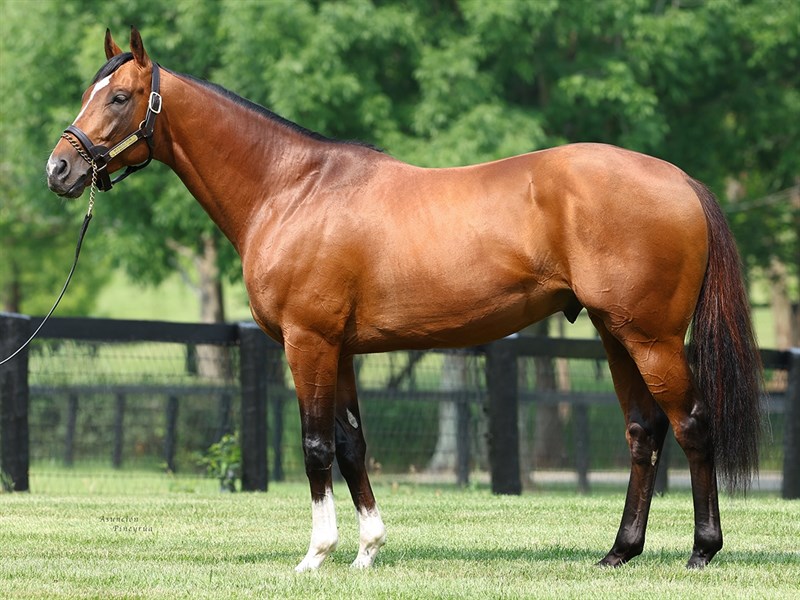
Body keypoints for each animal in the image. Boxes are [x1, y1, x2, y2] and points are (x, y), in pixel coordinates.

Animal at [46, 28, 762, 571]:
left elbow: (314, 445)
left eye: (119, 96)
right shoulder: (339, 350)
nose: (60, 169)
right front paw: (367, 550)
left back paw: (702, 551)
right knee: (644, 431)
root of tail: (681, 181)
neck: (292, 188)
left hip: (653, 338)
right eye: (87, 93)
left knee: (692, 425)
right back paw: (620, 551)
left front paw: (317, 555)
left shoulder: (308, 343)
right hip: (616, 333)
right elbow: (352, 444)